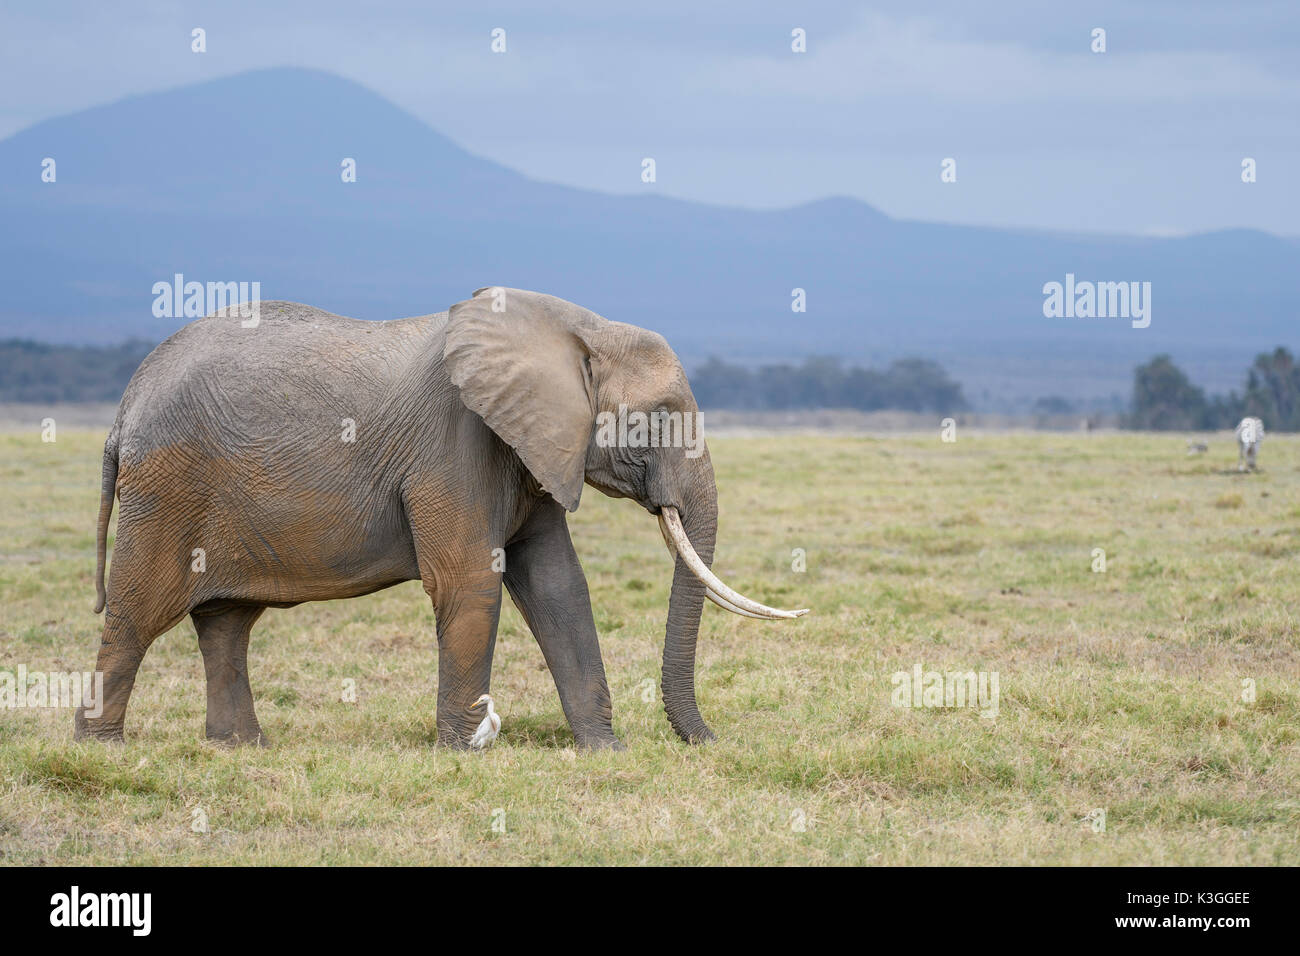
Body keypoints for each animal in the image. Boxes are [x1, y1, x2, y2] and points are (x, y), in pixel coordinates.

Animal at [74, 288, 807, 749]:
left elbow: (559, 587)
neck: (575, 328)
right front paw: (466, 751)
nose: (714, 743)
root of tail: (124, 407)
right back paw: (102, 748)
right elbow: (472, 581)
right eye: (658, 417)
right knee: (138, 613)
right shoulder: (457, 443)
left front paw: (605, 751)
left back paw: (240, 748)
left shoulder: (530, 448)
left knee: (226, 623)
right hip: (168, 489)